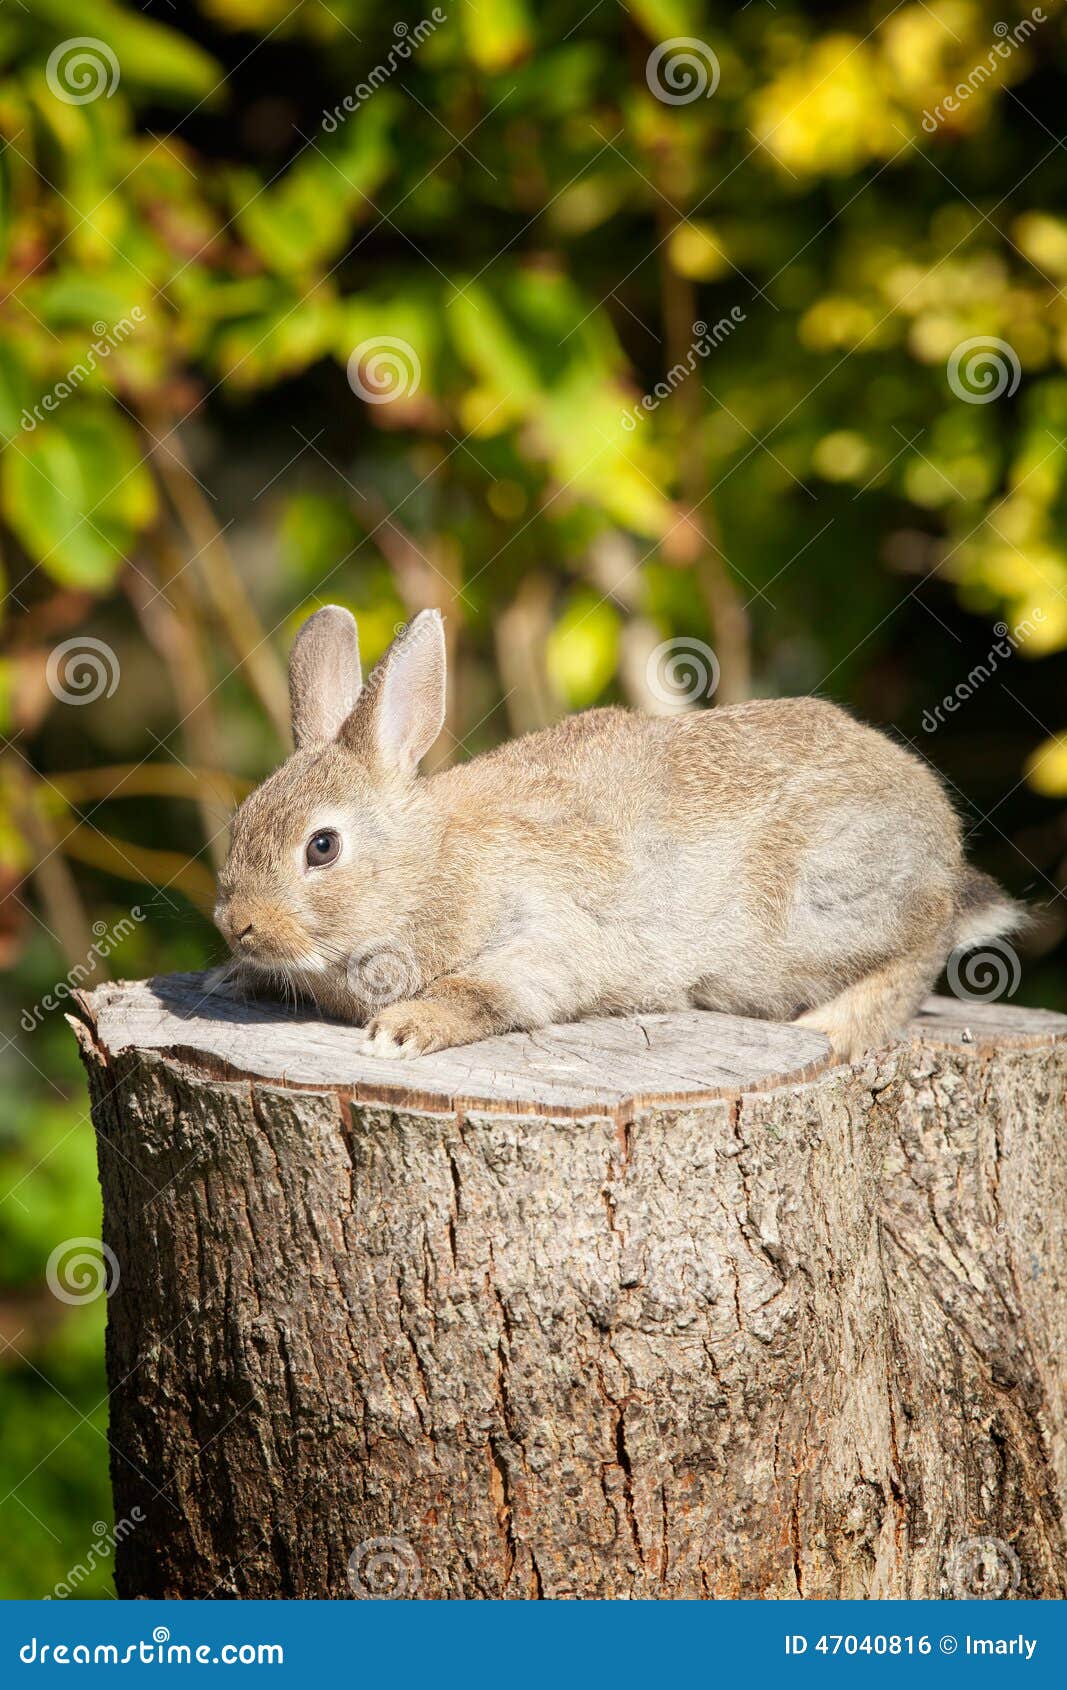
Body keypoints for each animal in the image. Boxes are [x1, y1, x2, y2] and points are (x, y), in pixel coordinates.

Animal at [213, 604, 1026, 1063]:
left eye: (322, 847)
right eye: (240, 822)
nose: (236, 924)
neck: (423, 869)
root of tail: (941, 845)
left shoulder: (550, 937)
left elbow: (493, 989)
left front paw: (404, 1030)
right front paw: (232, 979)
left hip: (832, 900)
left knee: (915, 952)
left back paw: (828, 1028)